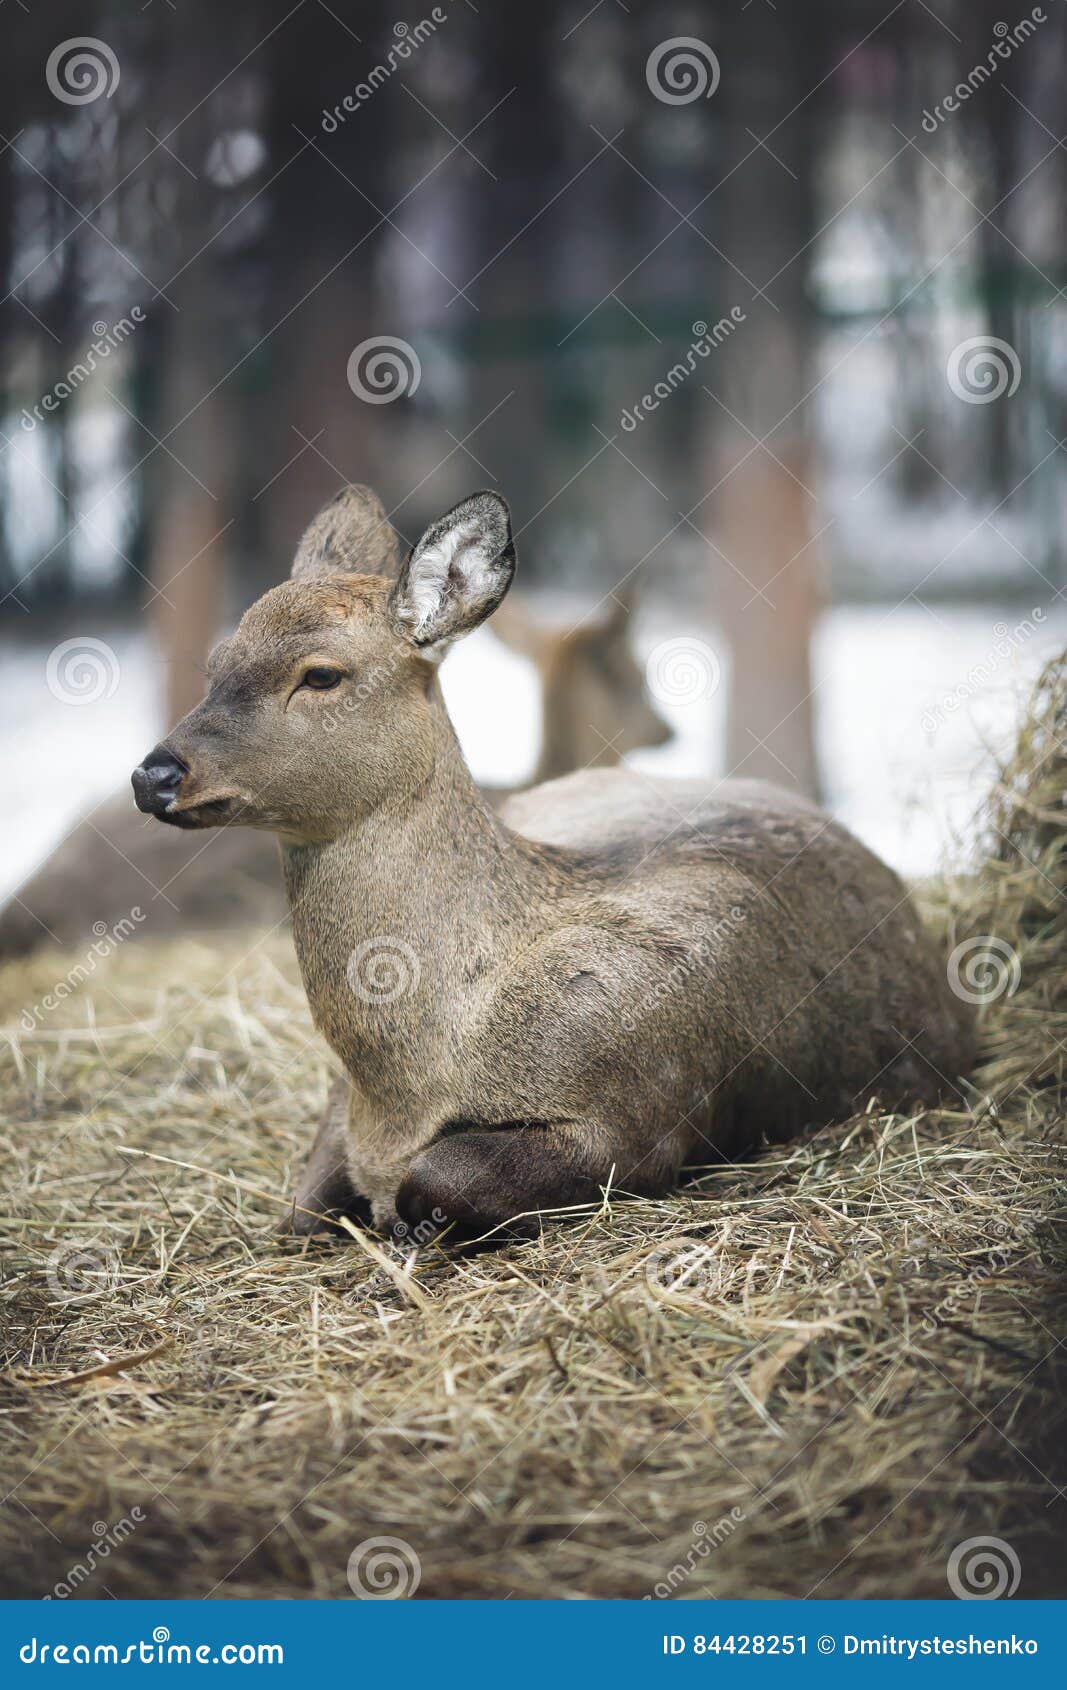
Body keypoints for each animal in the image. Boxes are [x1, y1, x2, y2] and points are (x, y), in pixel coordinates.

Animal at [132, 484, 974, 1242]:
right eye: (216, 660)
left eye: (321, 674)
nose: (155, 774)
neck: (409, 1080)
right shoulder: (343, 1105)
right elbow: (305, 1207)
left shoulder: (635, 1112)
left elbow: (438, 1179)